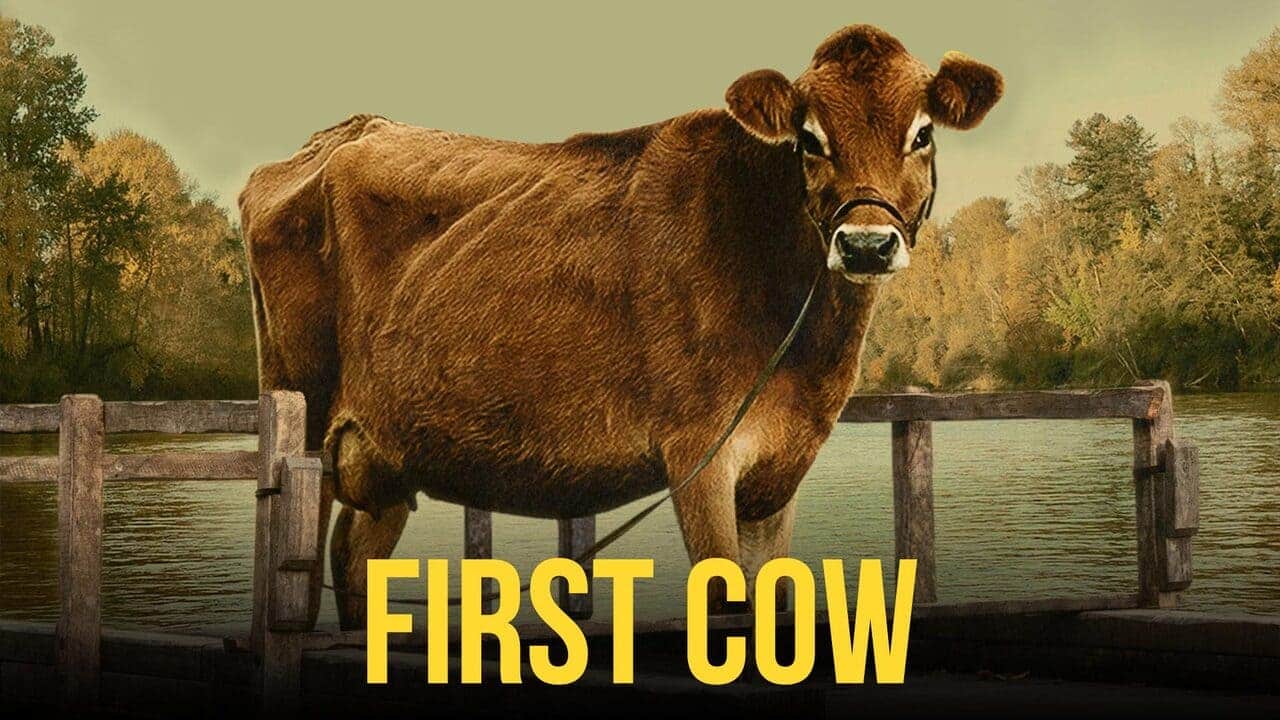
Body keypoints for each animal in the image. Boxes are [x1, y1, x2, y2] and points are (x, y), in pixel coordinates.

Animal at [240, 24, 1002, 628]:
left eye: (922, 133)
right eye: (810, 139)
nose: (866, 245)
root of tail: (339, 135)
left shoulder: (778, 471)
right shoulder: (700, 453)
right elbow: (725, 606)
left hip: (386, 453)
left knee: (355, 559)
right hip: (304, 418)